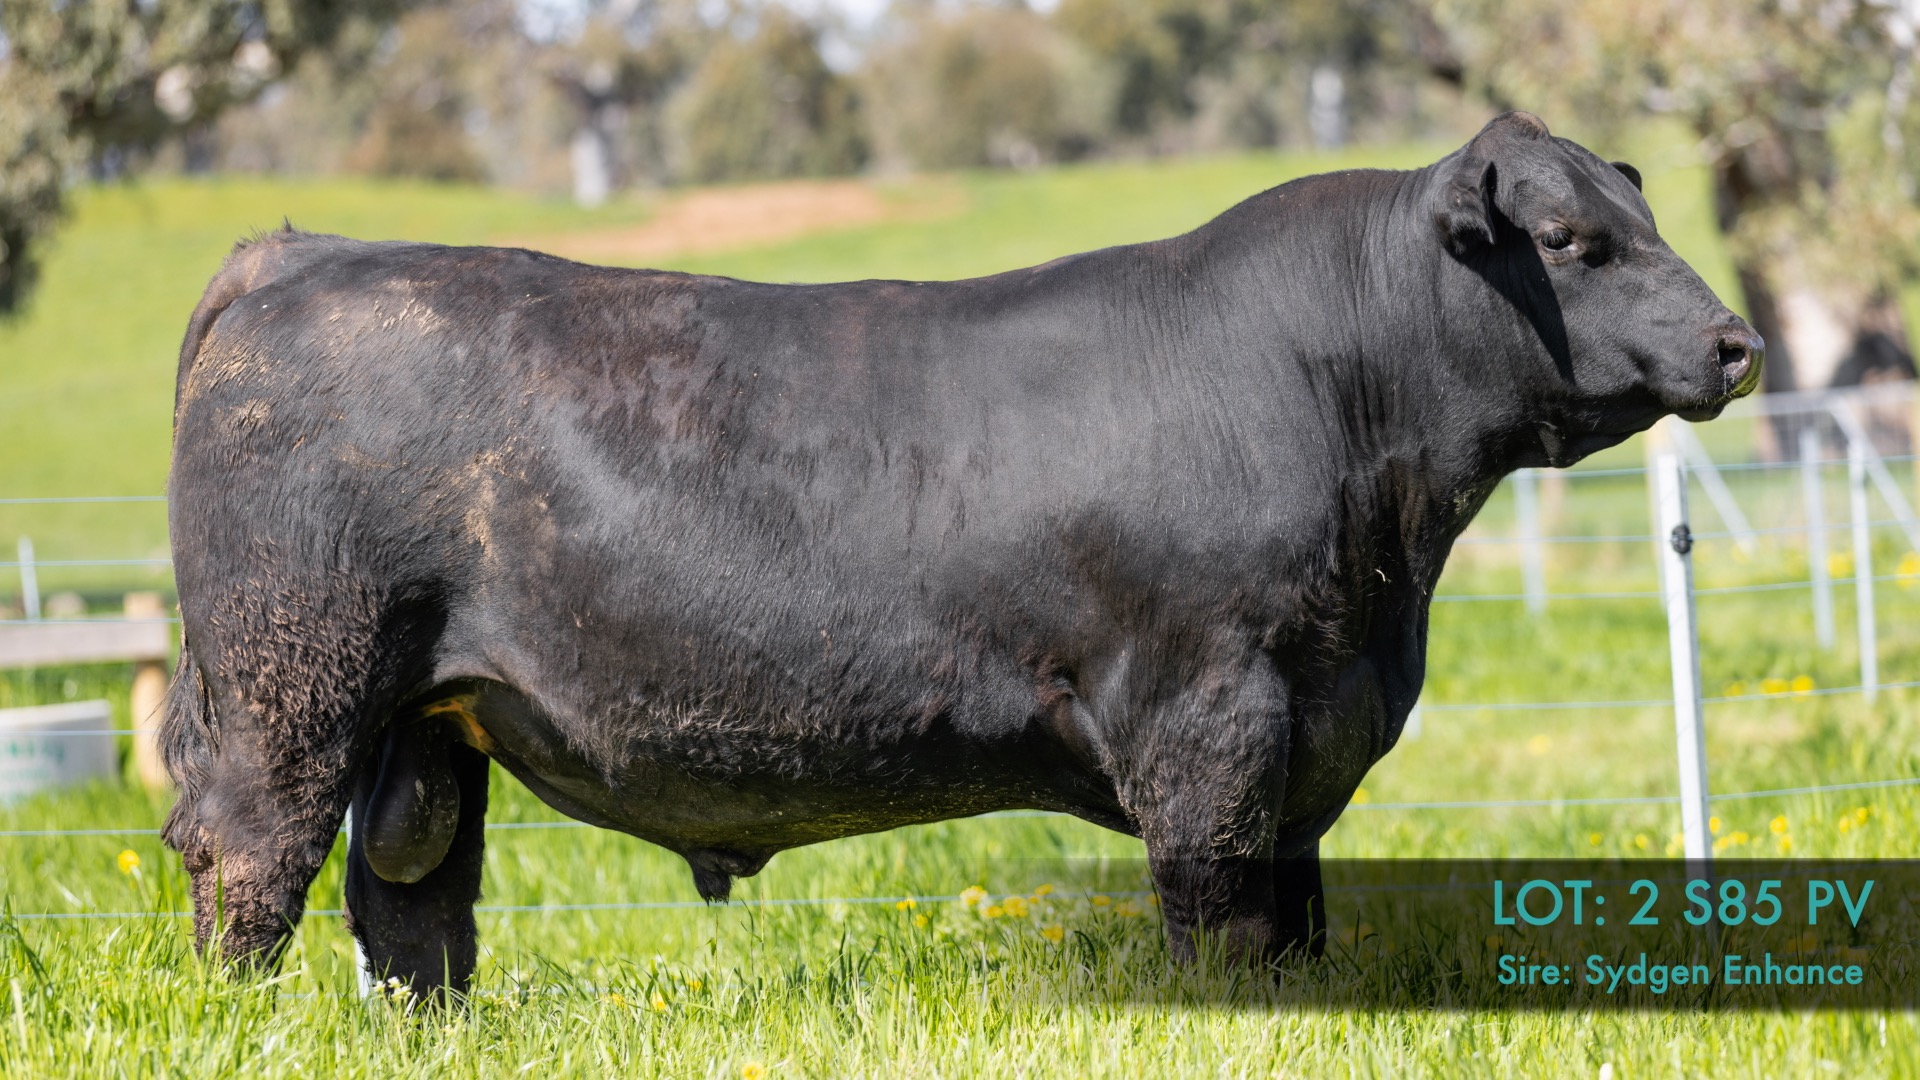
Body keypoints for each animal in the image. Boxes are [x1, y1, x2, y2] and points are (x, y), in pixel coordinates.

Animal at [160, 111, 1760, 998]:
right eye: (1570, 238)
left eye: (1641, 213)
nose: (1739, 342)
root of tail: (306, 253)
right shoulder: (1215, 712)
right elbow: (1222, 906)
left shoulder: (1312, 716)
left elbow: (1294, 902)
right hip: (293, 678)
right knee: (250, 853)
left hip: (425, 714)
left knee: (412, 896)